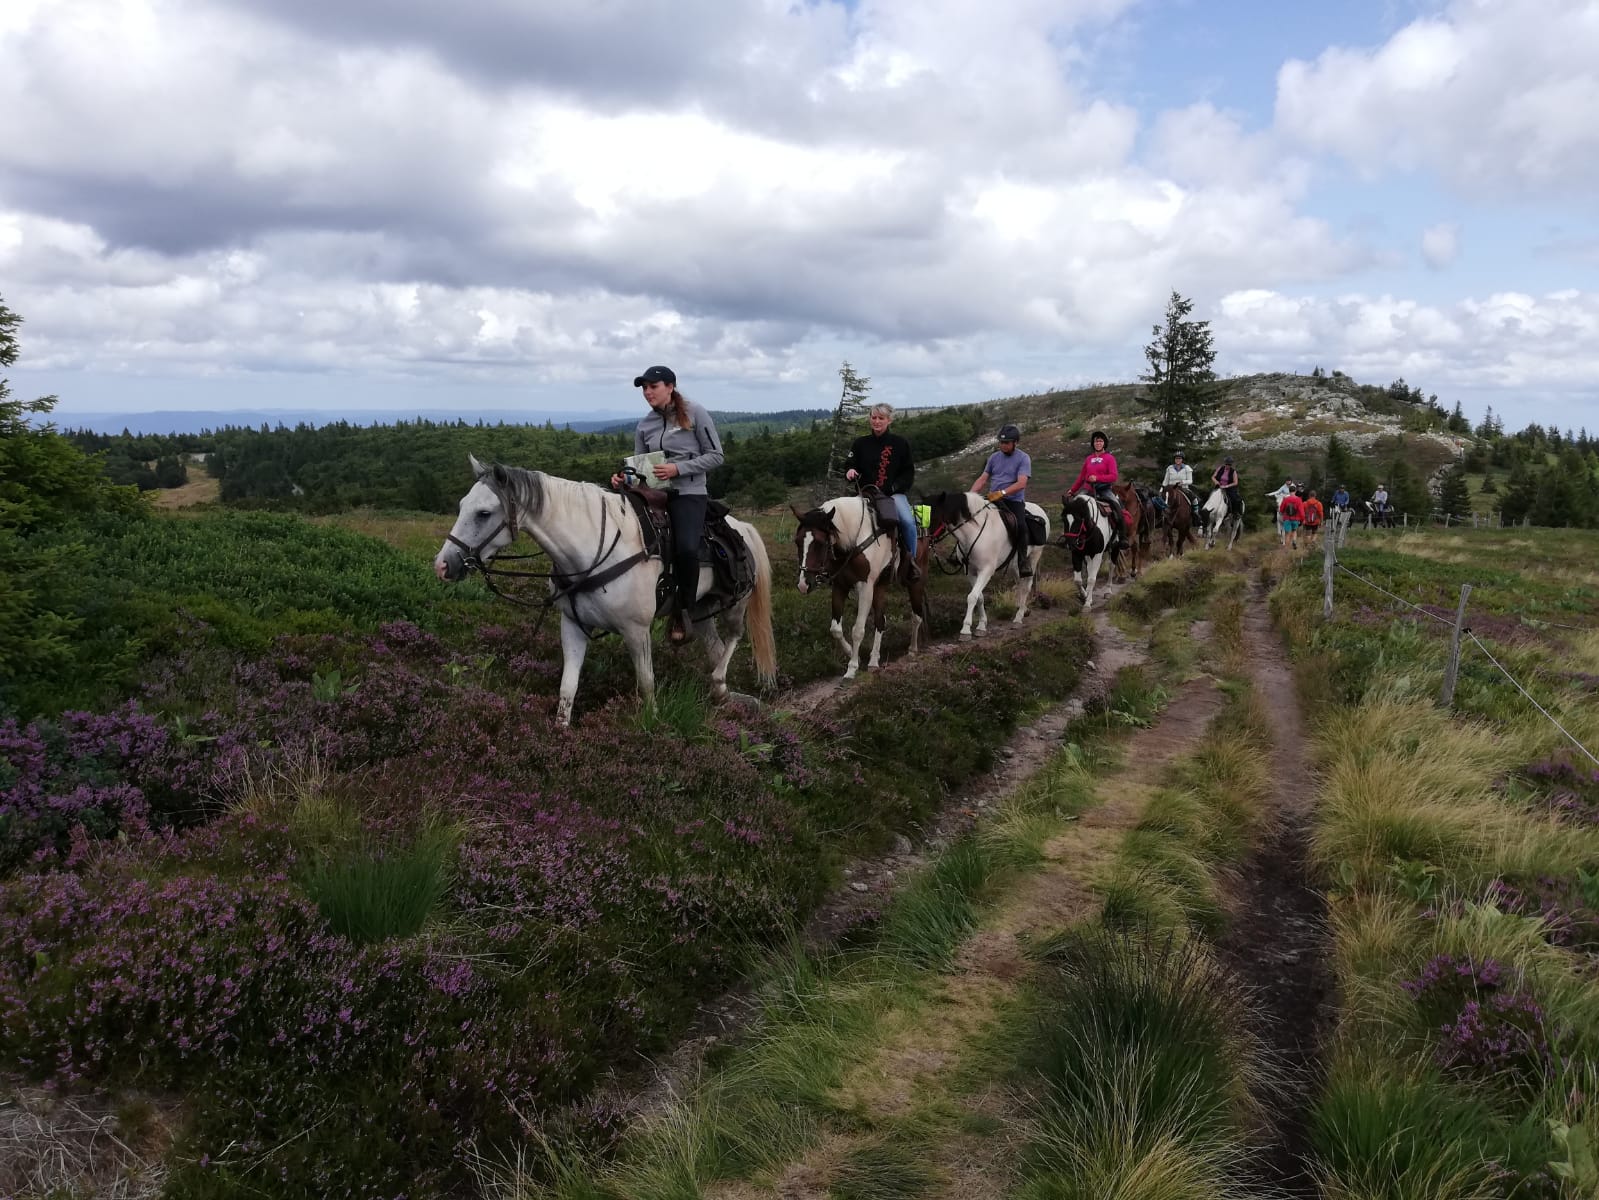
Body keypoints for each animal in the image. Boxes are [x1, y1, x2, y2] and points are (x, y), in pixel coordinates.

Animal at [434, 457, 777, 726]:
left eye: (483, 513)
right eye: (462, 506)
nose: (443, 565)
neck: (591, 554)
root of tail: (742, 527)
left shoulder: (637, 631)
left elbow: (646, 683)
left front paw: (651, 723)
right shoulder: (573, 626)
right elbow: (568, 687)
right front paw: (560, 733)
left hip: (735, 602)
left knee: (733, 637)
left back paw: (719, 682)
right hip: (700, 607)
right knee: (715, 646)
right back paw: (721, 694)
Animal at [792, 496, 931, 678]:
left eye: (820, 543)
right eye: (797, 541)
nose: (804, 584)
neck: (854, 540)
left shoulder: (866, 588)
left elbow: (858, 630)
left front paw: (852, 668)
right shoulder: (840, 586)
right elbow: (835, 629)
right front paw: (853, 653)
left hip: (914, 582)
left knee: (916, 616)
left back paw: (913, 649)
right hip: (880, 586)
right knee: (881, 620)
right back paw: (873, 661)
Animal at [923, 492, 1047, 639]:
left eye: (933, 516)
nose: (924, 543)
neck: (973, 533)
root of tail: (1039, 509)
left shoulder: (986, 571)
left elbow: (972, 597)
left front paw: (965, 630)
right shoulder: (971, 572)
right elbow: (979, 597)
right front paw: (981, 626)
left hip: (1033, 557)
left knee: (1026, 586)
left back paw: (1019, 617)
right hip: (1014, 565)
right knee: (1019, 583)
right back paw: (1022, 609)